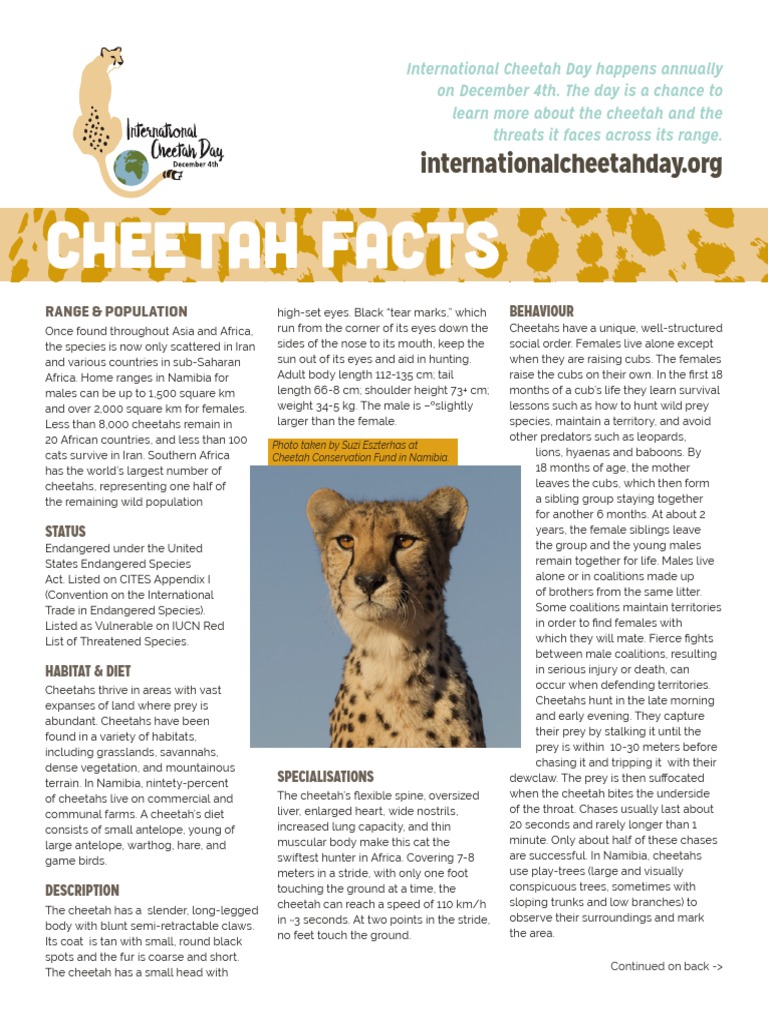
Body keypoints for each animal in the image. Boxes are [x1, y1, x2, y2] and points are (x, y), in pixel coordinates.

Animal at [73, 47, 182, 198]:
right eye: (113, 56)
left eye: (120, 56)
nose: (121, 62)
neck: (101, 64)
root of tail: (100, 152)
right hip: (115, 120)